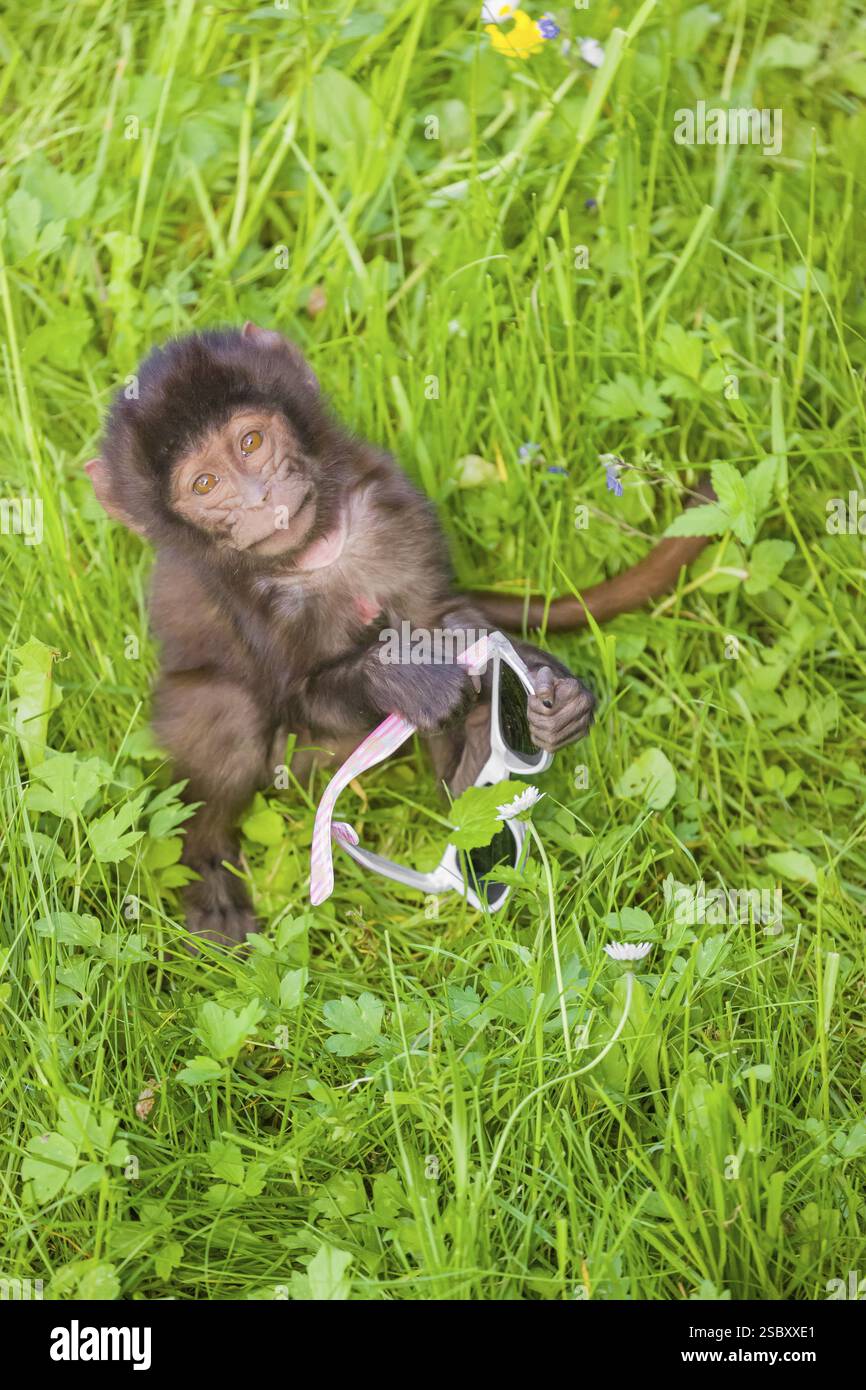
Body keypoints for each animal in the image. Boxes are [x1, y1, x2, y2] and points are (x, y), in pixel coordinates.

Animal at [85, 324, 714, 946]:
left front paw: (554, 701)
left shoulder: (392, 504)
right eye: (205, 484)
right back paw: (210, 868)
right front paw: (404, 679)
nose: (259, 498)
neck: (316, 552)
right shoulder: (243, 596)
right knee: (227, 708)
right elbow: (302, 694)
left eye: (251, 442)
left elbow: (442, 615)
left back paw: (476, 757)